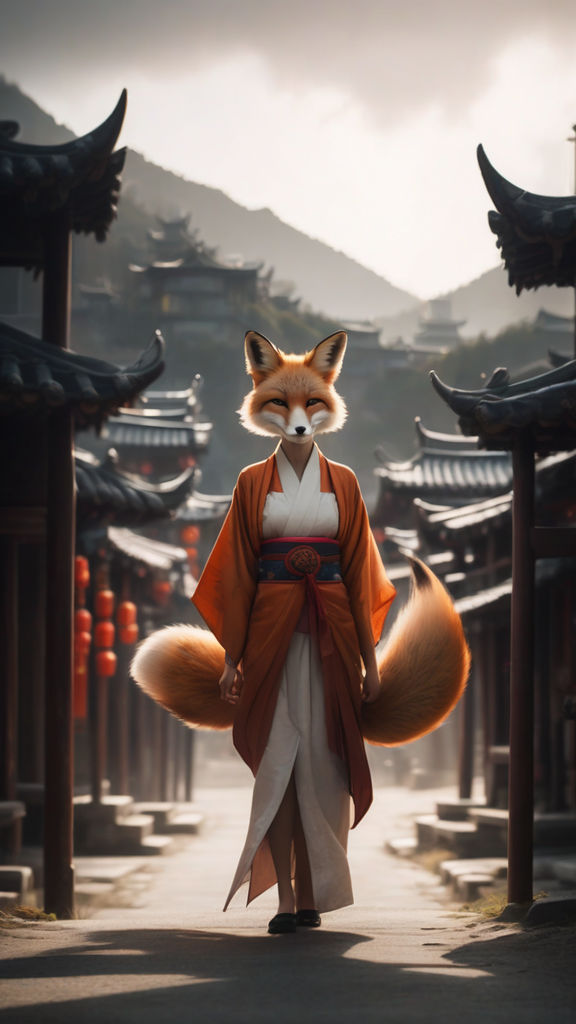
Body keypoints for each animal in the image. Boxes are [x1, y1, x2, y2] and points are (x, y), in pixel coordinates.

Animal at [131, 330, 470, 746]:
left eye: (312, 402)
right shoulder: (243, 492)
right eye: (279, 402)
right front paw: (228, 675)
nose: (299, 431)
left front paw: (371, 681)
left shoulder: (353, 493)